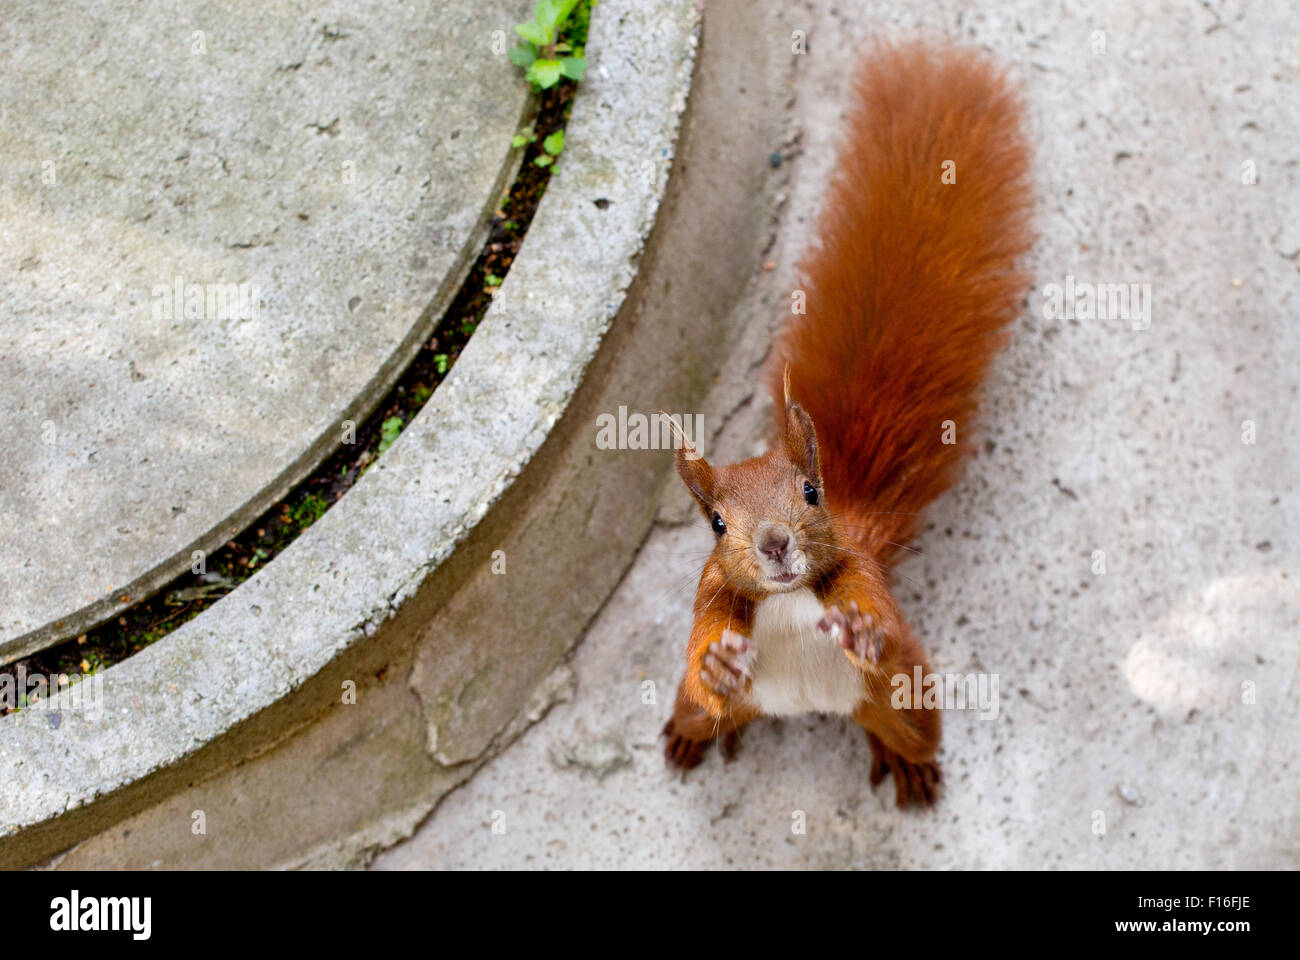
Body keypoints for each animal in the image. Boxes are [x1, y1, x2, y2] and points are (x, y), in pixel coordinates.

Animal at [661, 41, 1034, 807]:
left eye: (811, 493)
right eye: (716, 523)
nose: (774, 543)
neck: (788, 600)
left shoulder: (862, 575)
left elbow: (880, 627)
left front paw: (861, 634)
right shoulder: (712, 598)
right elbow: (702, 652)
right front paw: (716, 669)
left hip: (906, 706)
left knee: (904, 722)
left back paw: (908, 764)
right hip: (696, 706)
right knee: (700, 711)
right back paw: (690, 737)